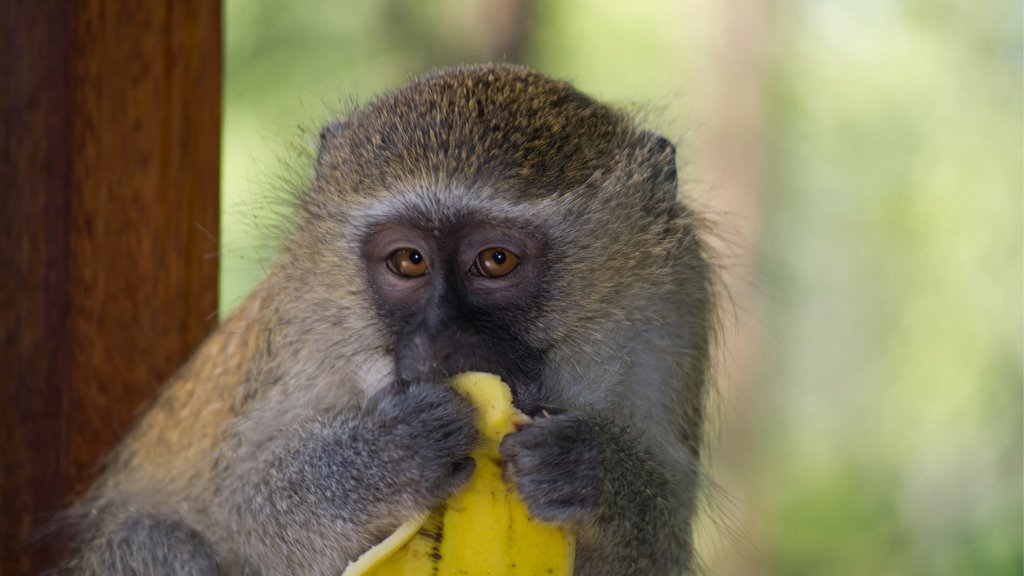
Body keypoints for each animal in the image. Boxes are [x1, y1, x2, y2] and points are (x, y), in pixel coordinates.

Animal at [63, 63, 715, 575]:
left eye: (496, 261)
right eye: (409, 261)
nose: (439, 343)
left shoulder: (674, 310)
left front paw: (590, 470)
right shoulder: (303, 324)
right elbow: (242, 509)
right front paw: (385, 459)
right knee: (149, 541)